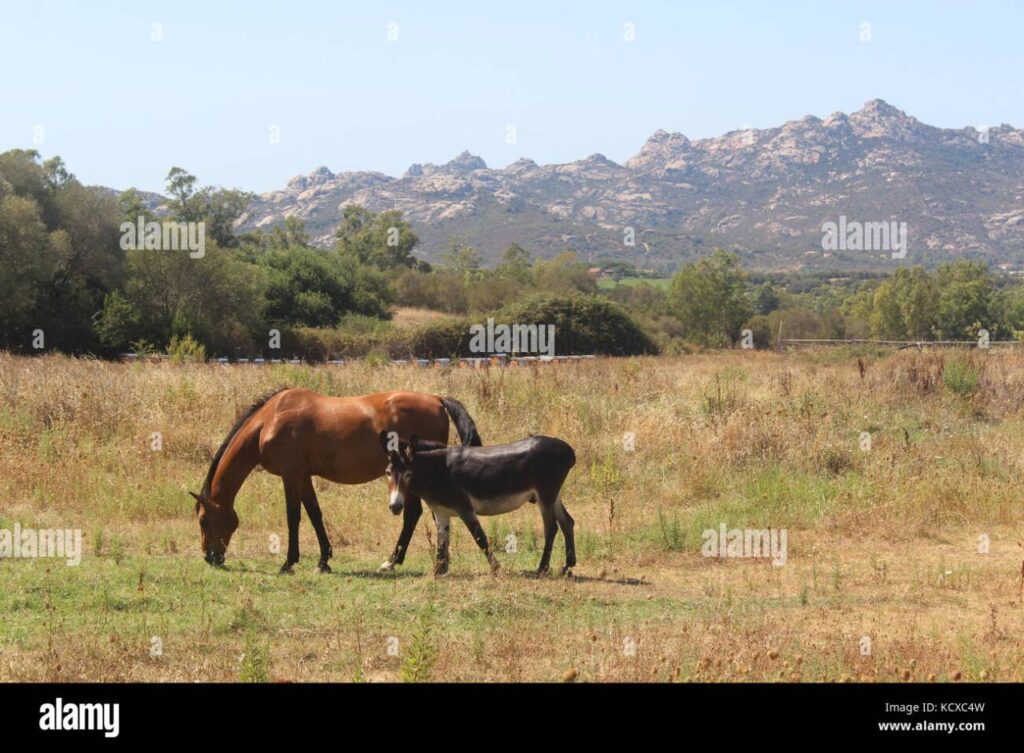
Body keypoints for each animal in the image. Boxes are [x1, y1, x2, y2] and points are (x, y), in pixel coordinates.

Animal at [190, 387, 482, 573]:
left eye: (203, 520)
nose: (209, 557)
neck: (269, 419)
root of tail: (437, 399)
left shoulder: (291, 474)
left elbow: (293, 517)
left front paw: (288, 563)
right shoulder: (304, 476)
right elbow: (315, 514)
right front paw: (323, 560)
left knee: (418, 515)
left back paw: (405, 562)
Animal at [379, 432, 577, 576]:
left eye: (408, 474)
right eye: (388, 473)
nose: (395, 507)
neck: (434, 471)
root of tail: (568, 450)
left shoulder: (465, 508)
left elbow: (480, 538)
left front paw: (497, 569)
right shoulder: (442, 512)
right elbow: (442, 543)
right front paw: (439, 571)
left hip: (545, 493)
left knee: (551, 528)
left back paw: (542, 568)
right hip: (553, 495)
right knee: (567, 522)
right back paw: (568, 566)